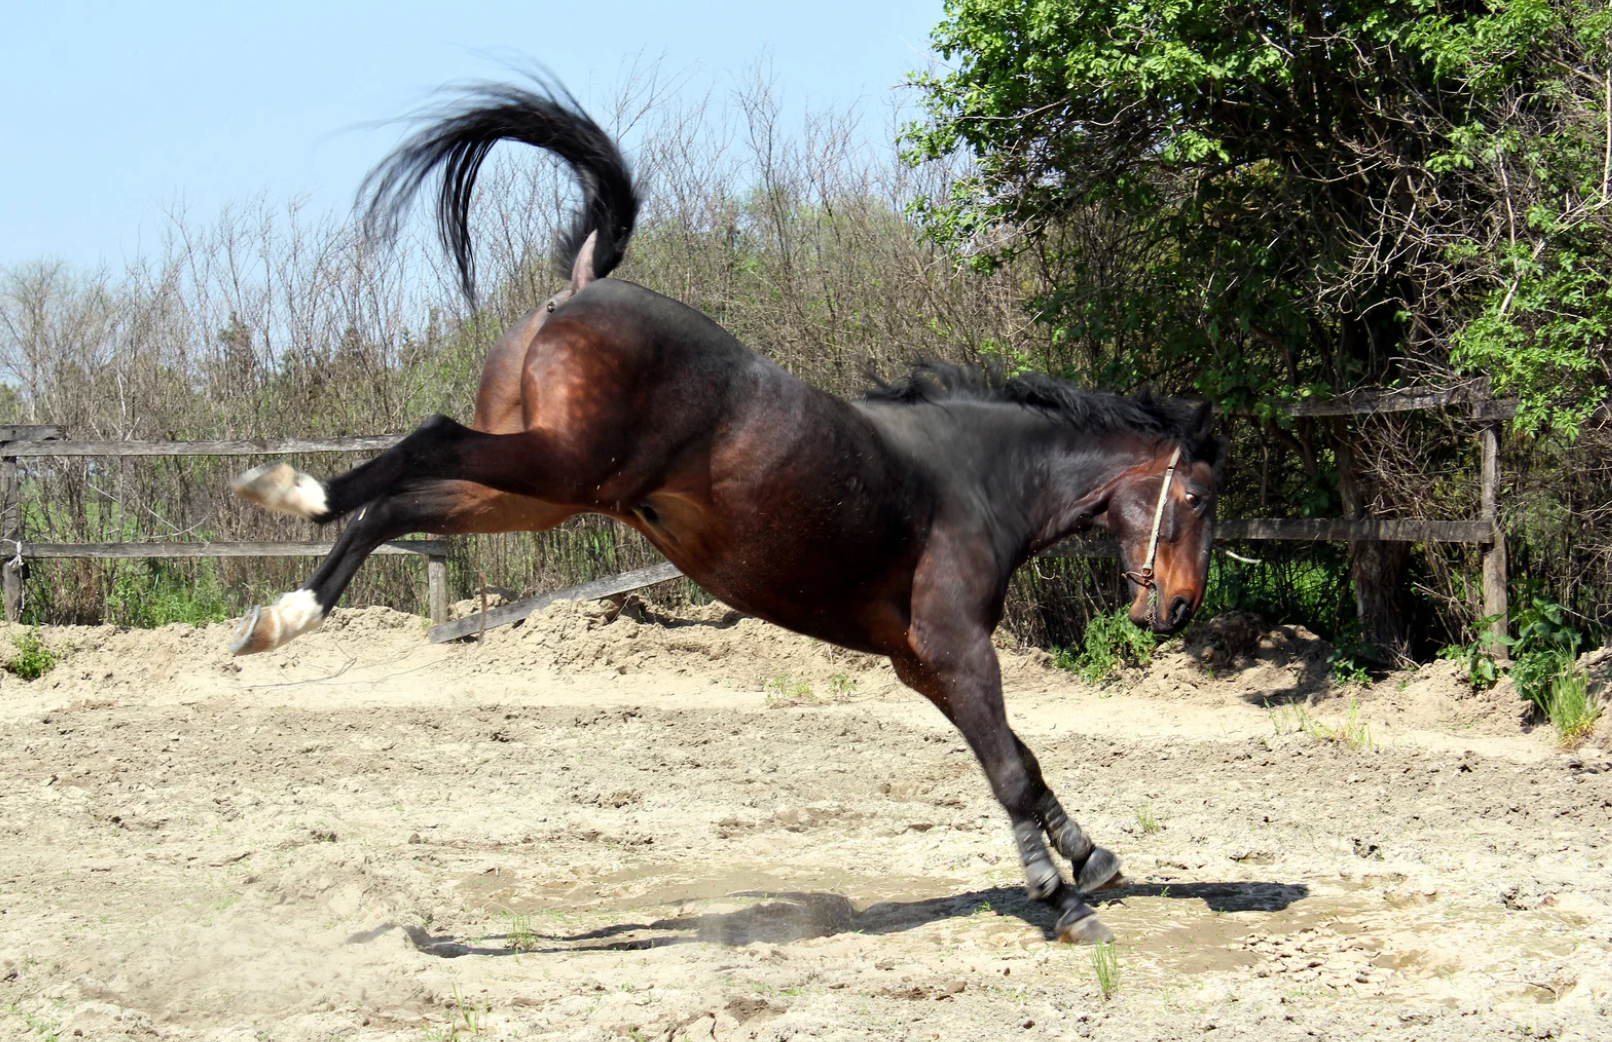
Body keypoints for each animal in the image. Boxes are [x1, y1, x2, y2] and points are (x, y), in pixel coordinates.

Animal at [227, 80, 1223, 944]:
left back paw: (281, 617)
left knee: (395, 508)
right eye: (1199, 497)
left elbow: (1021, 760)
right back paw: (289, 496)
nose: (1177, 610)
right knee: (420, 447)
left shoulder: (923, 666)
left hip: (533, 491)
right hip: (554, 465)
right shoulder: (955, 650)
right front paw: (1065, 899)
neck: (972, 480)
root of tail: (581, 285)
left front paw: (1090, 859)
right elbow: (1011, 767)